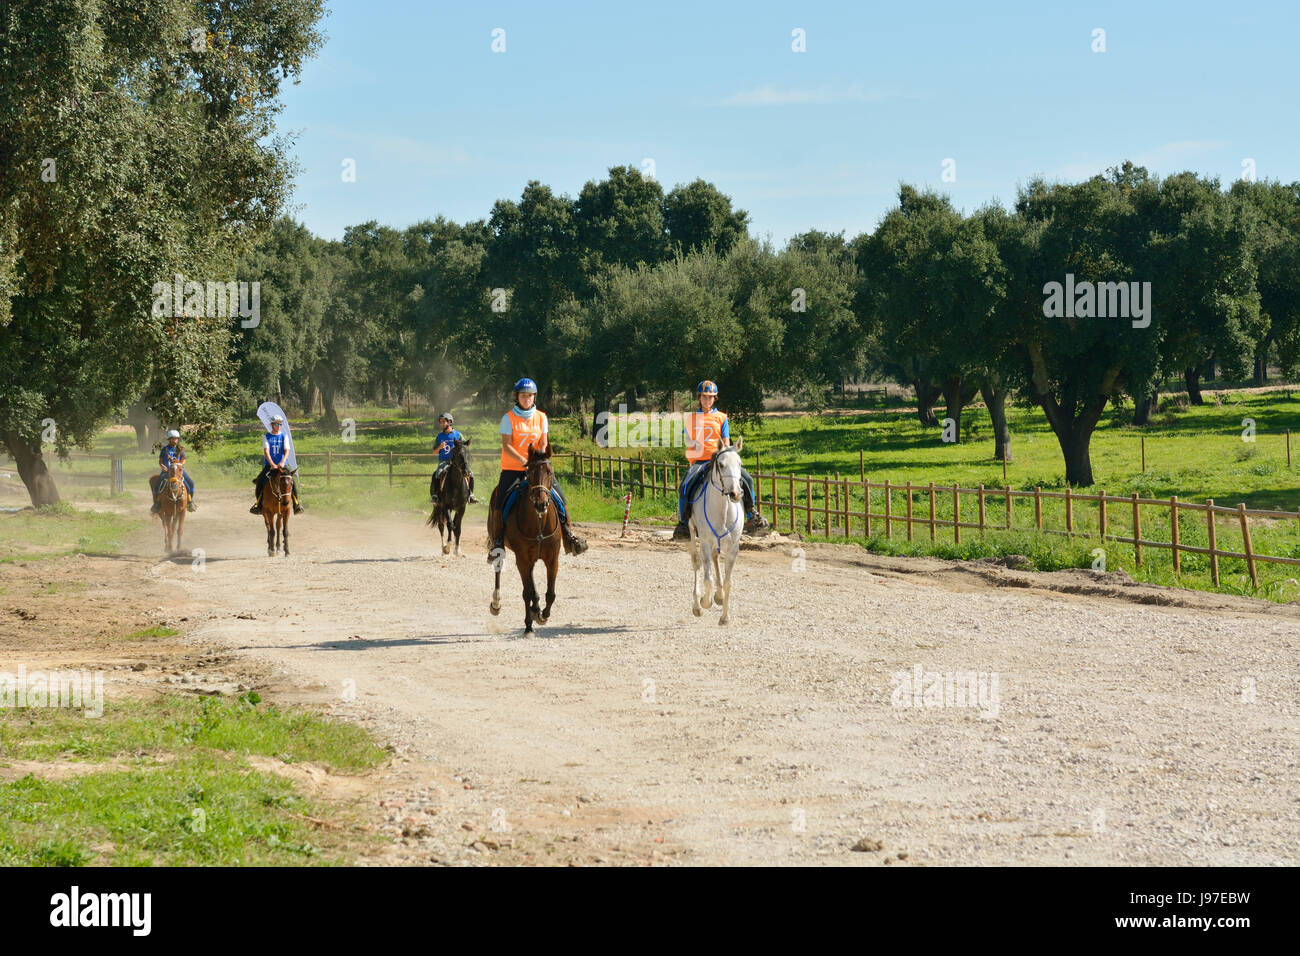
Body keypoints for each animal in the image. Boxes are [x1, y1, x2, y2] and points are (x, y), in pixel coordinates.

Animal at [488, 447, 561, 634]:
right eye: (531, 473)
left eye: (550, 472)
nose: (541, 504)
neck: (539, 522)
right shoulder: (522, 559)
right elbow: (526, 593)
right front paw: (528, 626)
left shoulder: (552, 559)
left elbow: (551, 593)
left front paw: (543, 615)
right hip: (500, 547)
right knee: (499, 568)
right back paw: (496, 603)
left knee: (532, 579)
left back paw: (536, 609)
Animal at [687, 439, 745, 625]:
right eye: (721, 464)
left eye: (739, 463)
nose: (735, 493)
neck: (722, 511)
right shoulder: (705, 542)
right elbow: (707, 579)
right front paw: (705, 602)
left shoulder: (733, 547)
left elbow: (728, 582)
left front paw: (725, 617)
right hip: (692, 532)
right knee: (696, 563)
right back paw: (697, 605)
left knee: (714, 559)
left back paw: (718, 596)